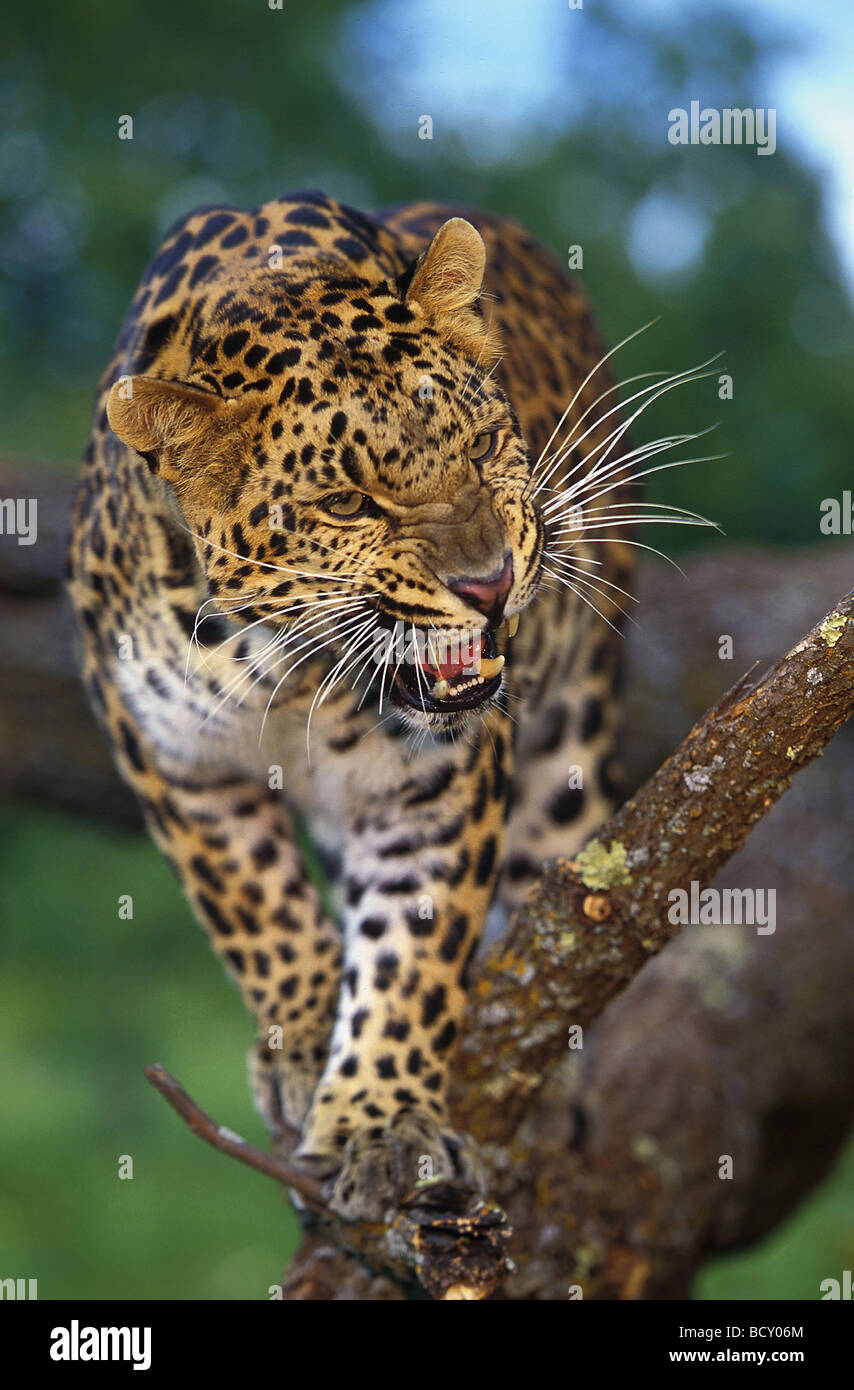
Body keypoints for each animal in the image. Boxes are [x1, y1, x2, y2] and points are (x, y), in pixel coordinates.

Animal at [67, 189, 640, 1222]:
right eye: (347, 502)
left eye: (483, 446)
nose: (491, 586)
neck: (289, 668)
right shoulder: (170, 755)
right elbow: (256, 907)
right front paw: (302, 1039)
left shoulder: (433, 783)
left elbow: (413, 950)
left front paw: (381, 1121)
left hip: (573, 728)